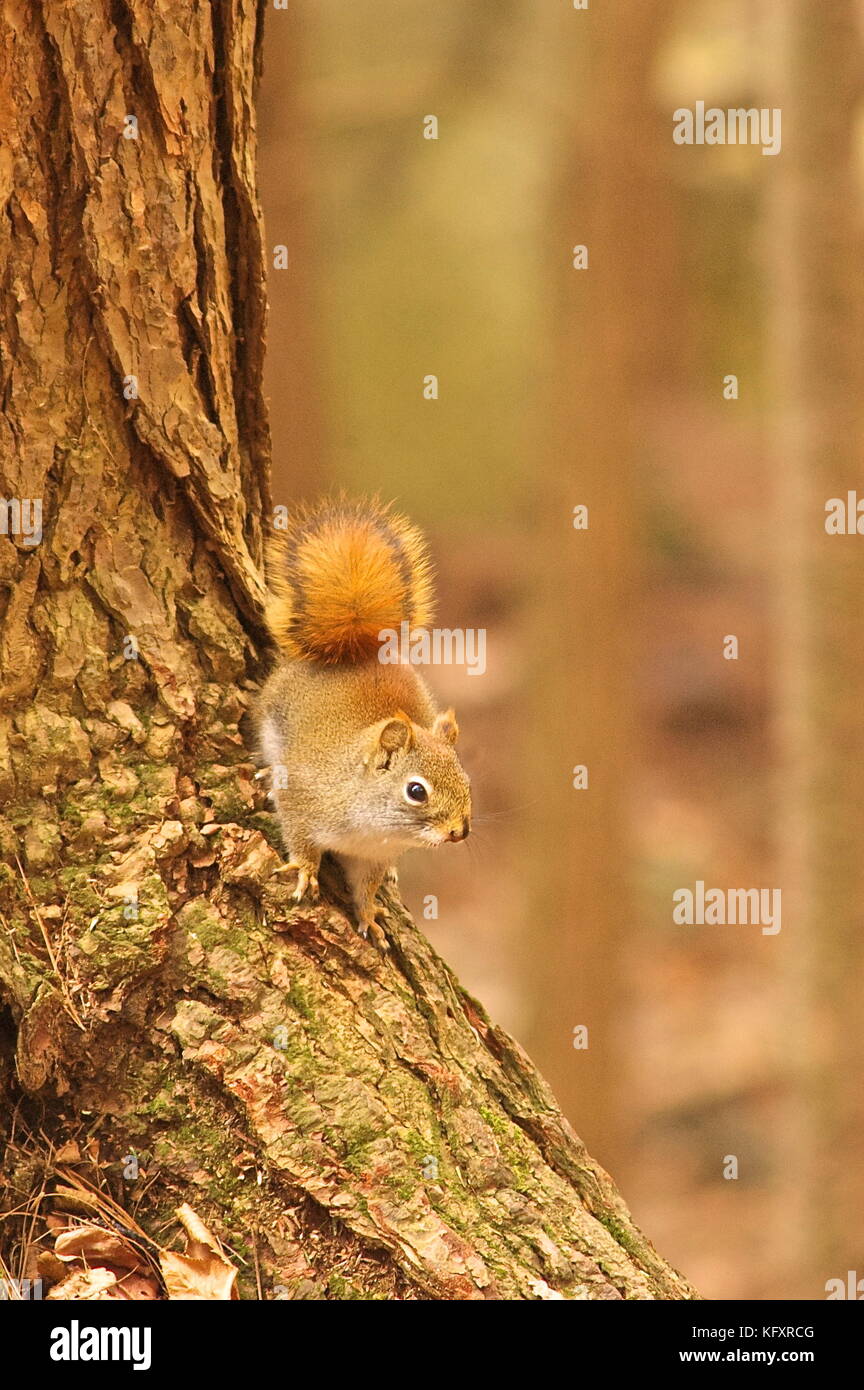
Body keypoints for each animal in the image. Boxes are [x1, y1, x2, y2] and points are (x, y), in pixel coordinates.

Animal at [257, 497, 471, 951]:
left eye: (467, 781)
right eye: (416, 791)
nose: (459, 832)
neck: (374, 828)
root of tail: (360, 650)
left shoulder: (372, 856)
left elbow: (367, 885)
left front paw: (370, 915)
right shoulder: (305, 798)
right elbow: (300, 837)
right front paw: (305, 869)